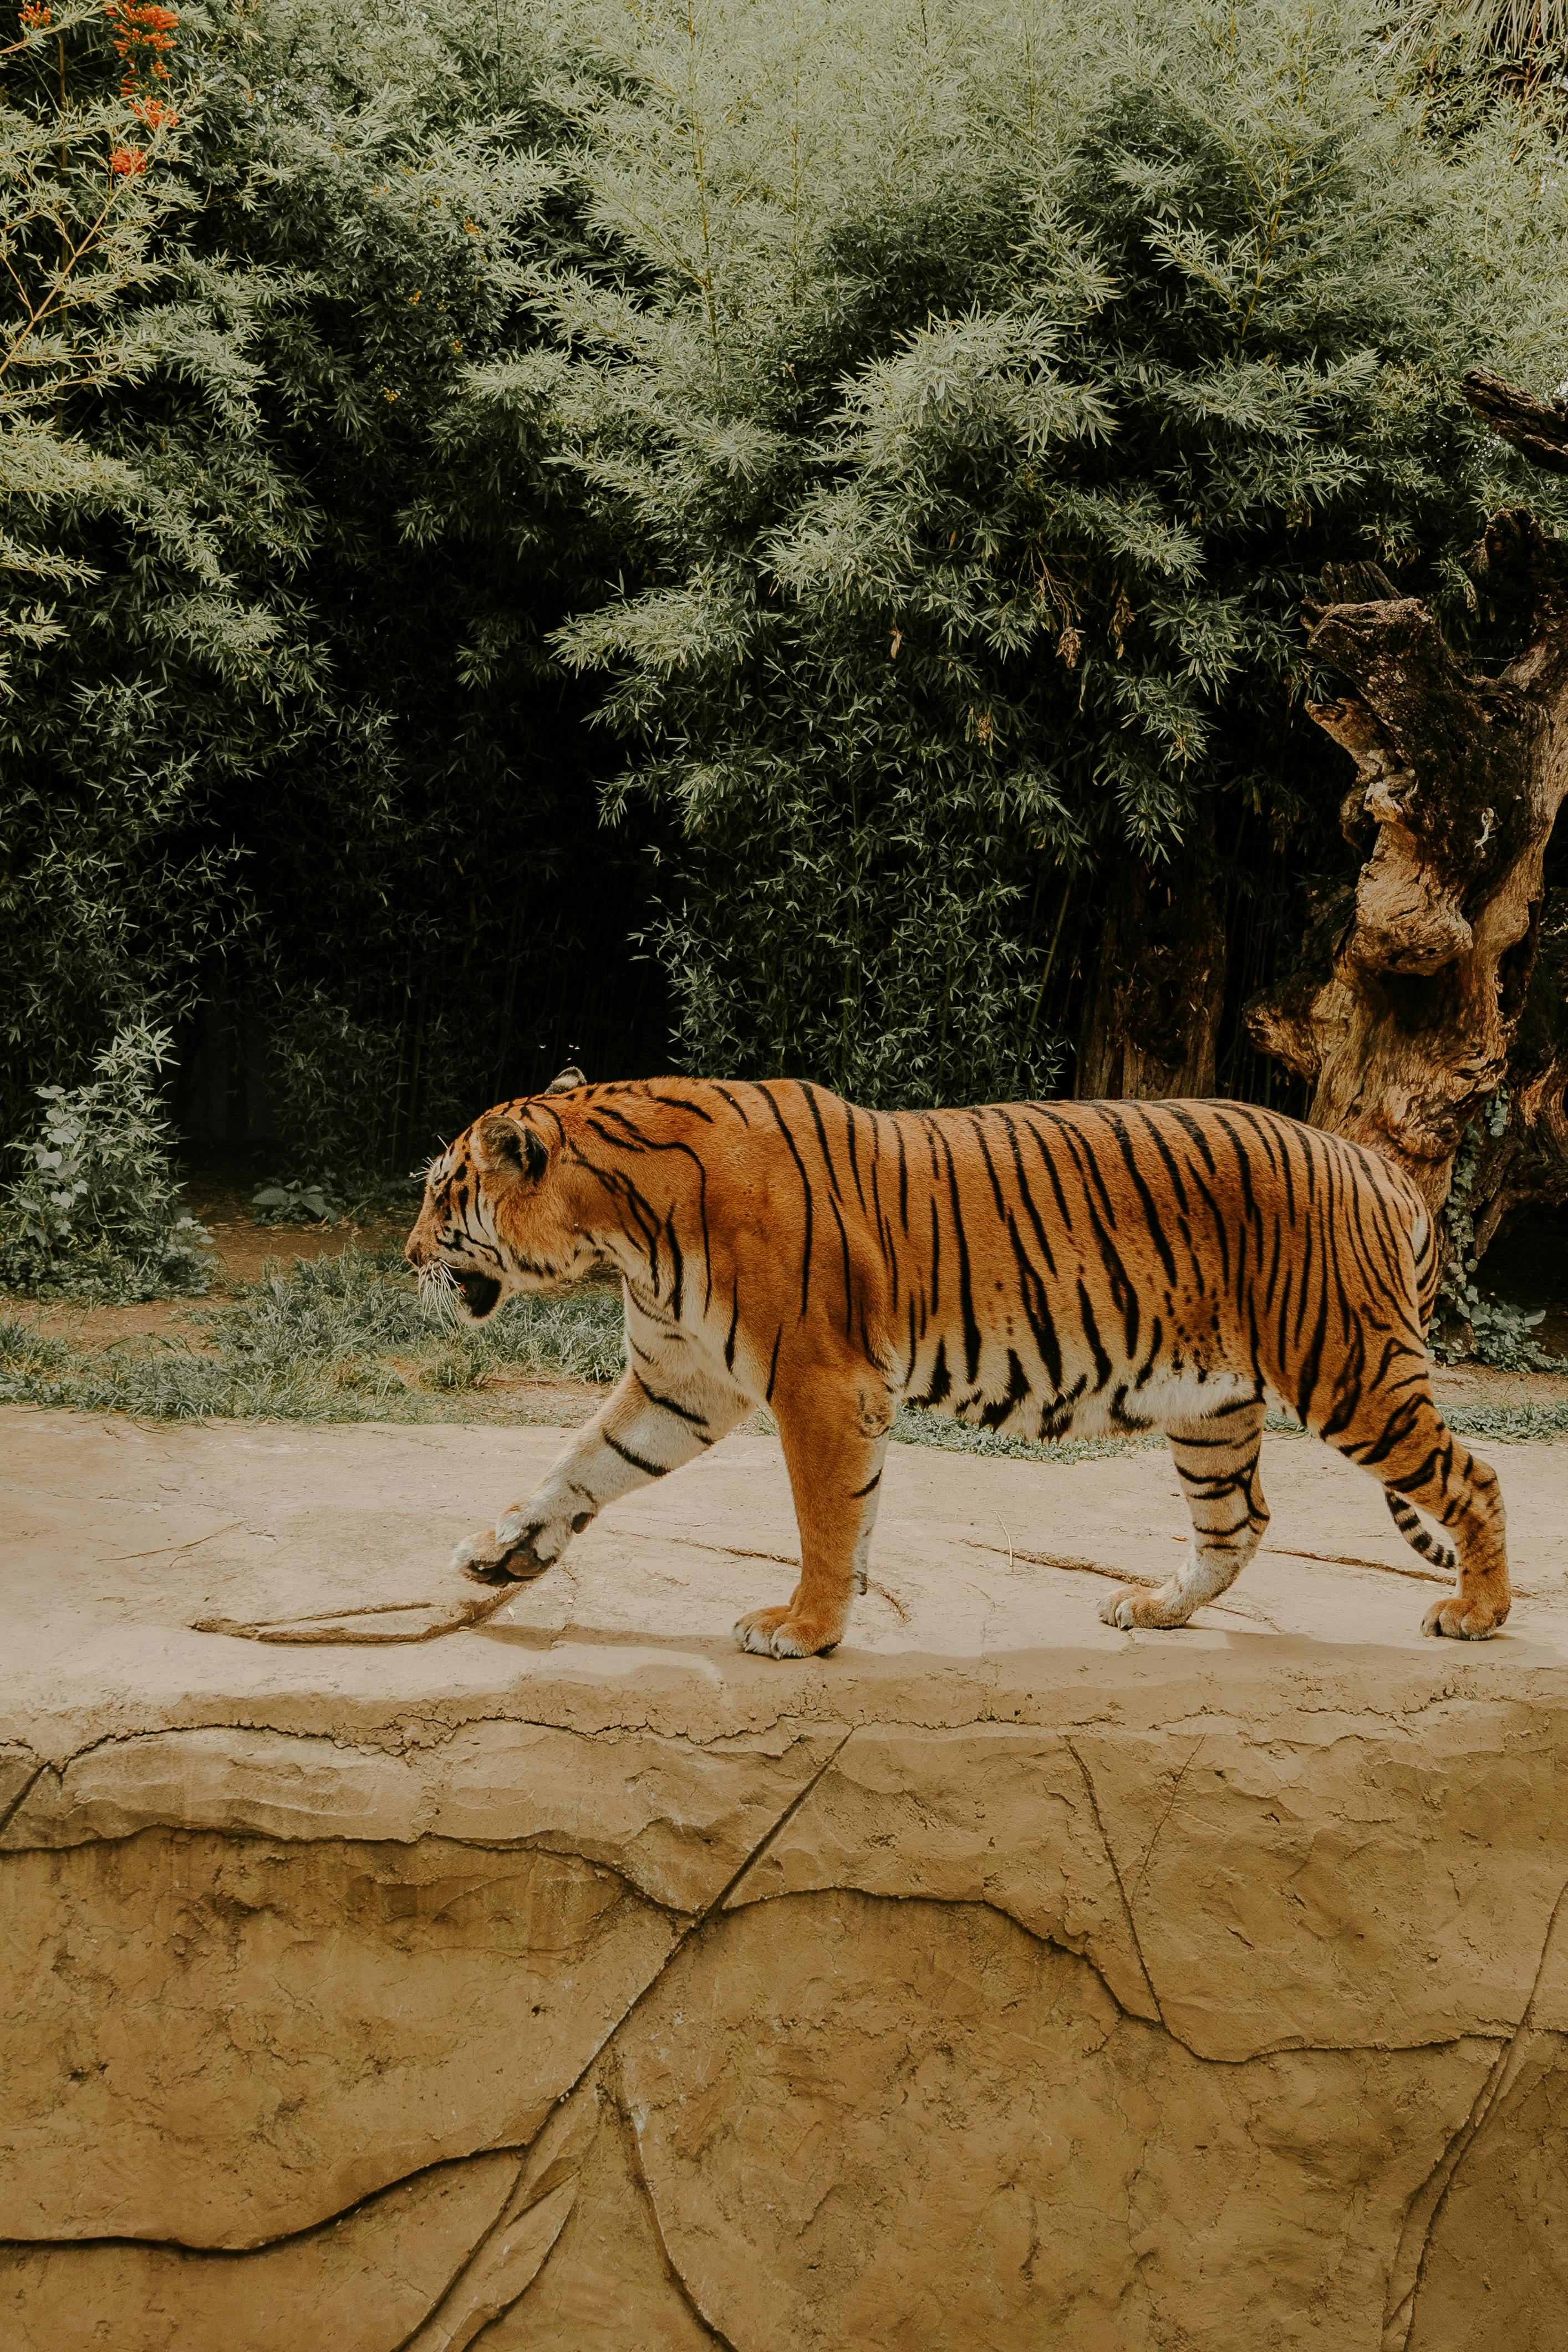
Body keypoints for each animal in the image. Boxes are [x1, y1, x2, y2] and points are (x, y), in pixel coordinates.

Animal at [403, 1070, 1509, 1658]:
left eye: (442, 1190)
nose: (409, 1256)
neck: (618, 1231)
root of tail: (1379, 1165)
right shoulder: (681, 1385)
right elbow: (581, 1465)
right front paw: (498, 1554)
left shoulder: (821, 1383)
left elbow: (825, 1520)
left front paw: (803, 1628)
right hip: (1211, 1404)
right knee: (1237, 1520)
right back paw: (1152, 1607)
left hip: (1347, 1367)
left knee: (1474, 1478)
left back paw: (1477, 1613)